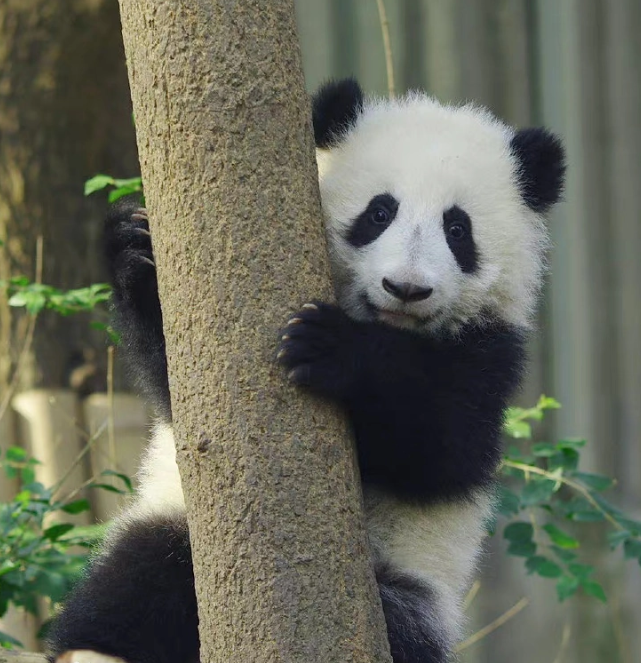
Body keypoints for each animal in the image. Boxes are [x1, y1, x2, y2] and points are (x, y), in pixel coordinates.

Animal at [48, 78, 565, 663]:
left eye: (458, 229)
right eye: (379, 213)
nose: (406, 288)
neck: (389, 327)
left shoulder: (492, 354)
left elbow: (443, 445)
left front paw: (332, 349)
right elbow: (179, 386)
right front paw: (136, 249)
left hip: (414, 590)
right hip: (168, 525)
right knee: (136, 582)